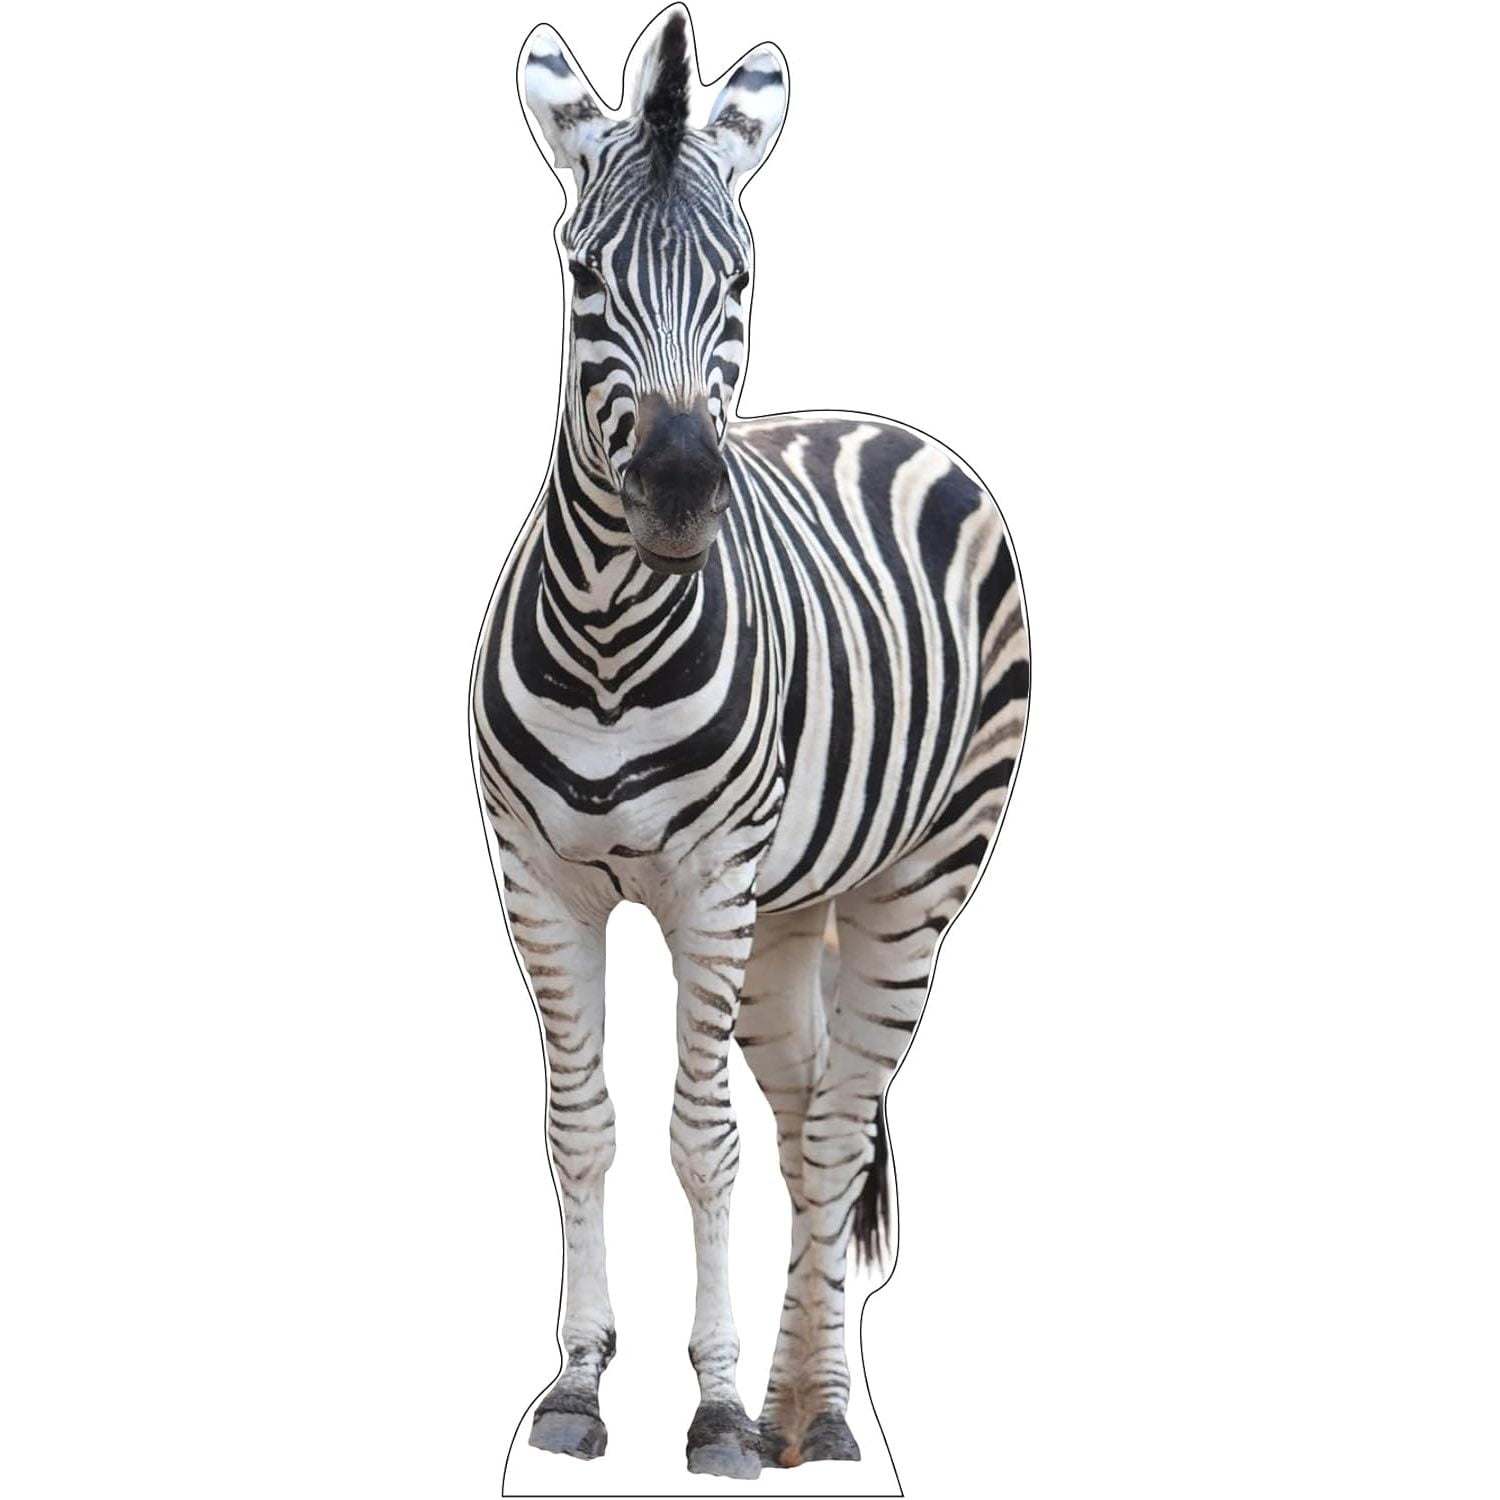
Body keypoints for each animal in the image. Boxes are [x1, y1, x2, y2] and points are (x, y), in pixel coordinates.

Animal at [471, 6, 1030, 1481]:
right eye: (584, 275)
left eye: (738, 279)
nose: (677, 489)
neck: (612, 637)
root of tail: (875, 421)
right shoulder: (540, 885)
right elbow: (583, 1128)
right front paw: (578, 1386)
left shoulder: (706, 890)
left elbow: (699, 1141)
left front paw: (712, 1409)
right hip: (791, 910)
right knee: (809, 1119)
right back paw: (791, 1405)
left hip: (914, 884)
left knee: (833, 1136)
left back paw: (814, 1414)